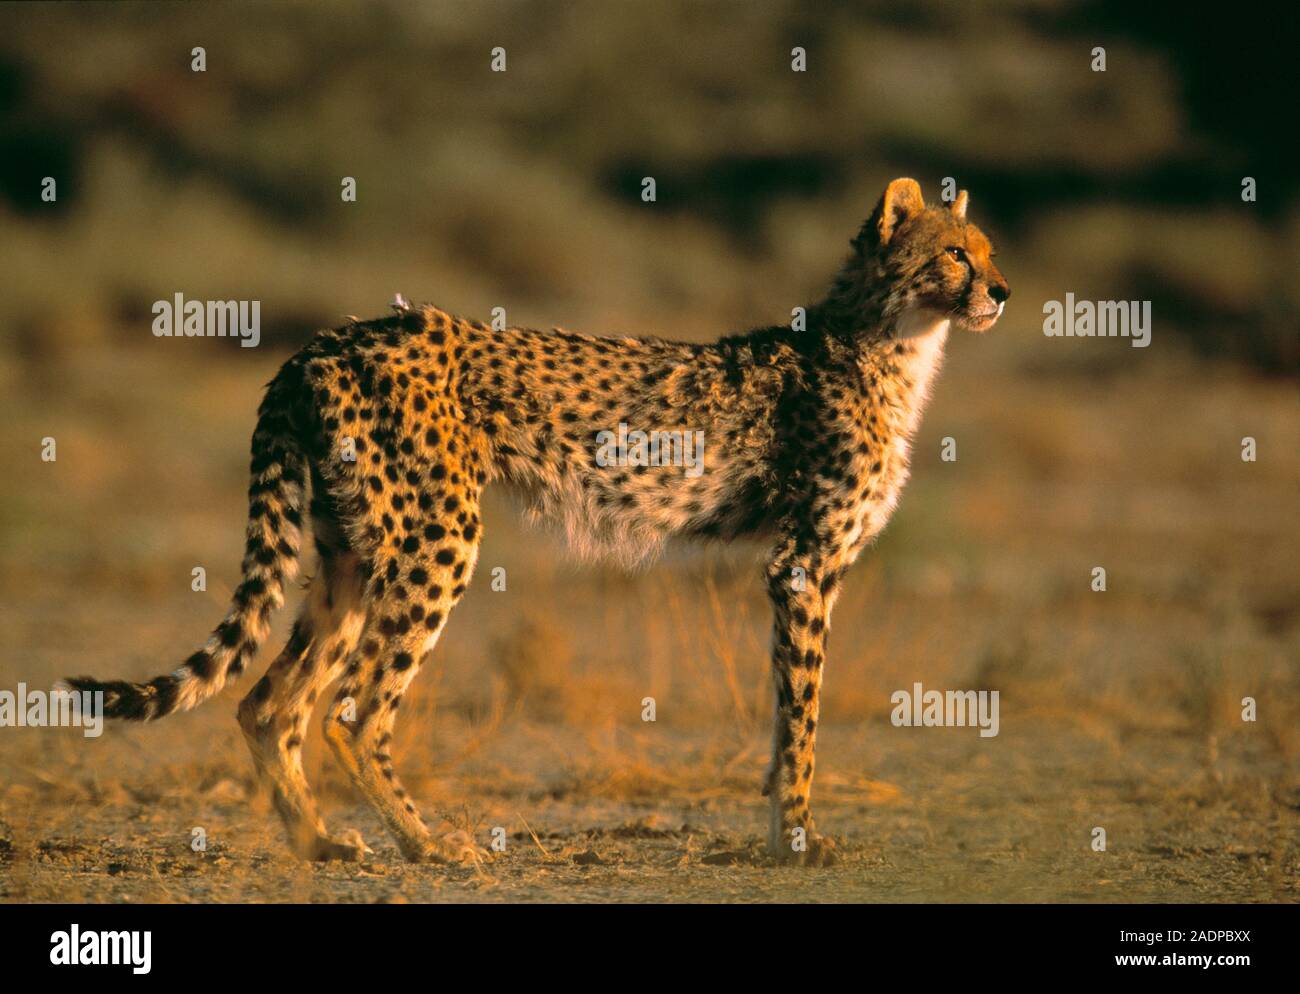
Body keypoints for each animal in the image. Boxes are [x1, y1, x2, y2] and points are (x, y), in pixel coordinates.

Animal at [66, 178, 1008, 866]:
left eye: (990, 253)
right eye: (954, 253)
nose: (1002, 291)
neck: (890, 342)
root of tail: (330, 338)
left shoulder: (803, 569)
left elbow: (786, 715)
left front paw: (785, 827)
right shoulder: (804, 564)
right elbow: (805, 713)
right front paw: (801, 842)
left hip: (351, 551)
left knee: (269, 702)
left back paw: (322, 844)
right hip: (435, 537)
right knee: (352, 708)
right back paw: (428, 845)